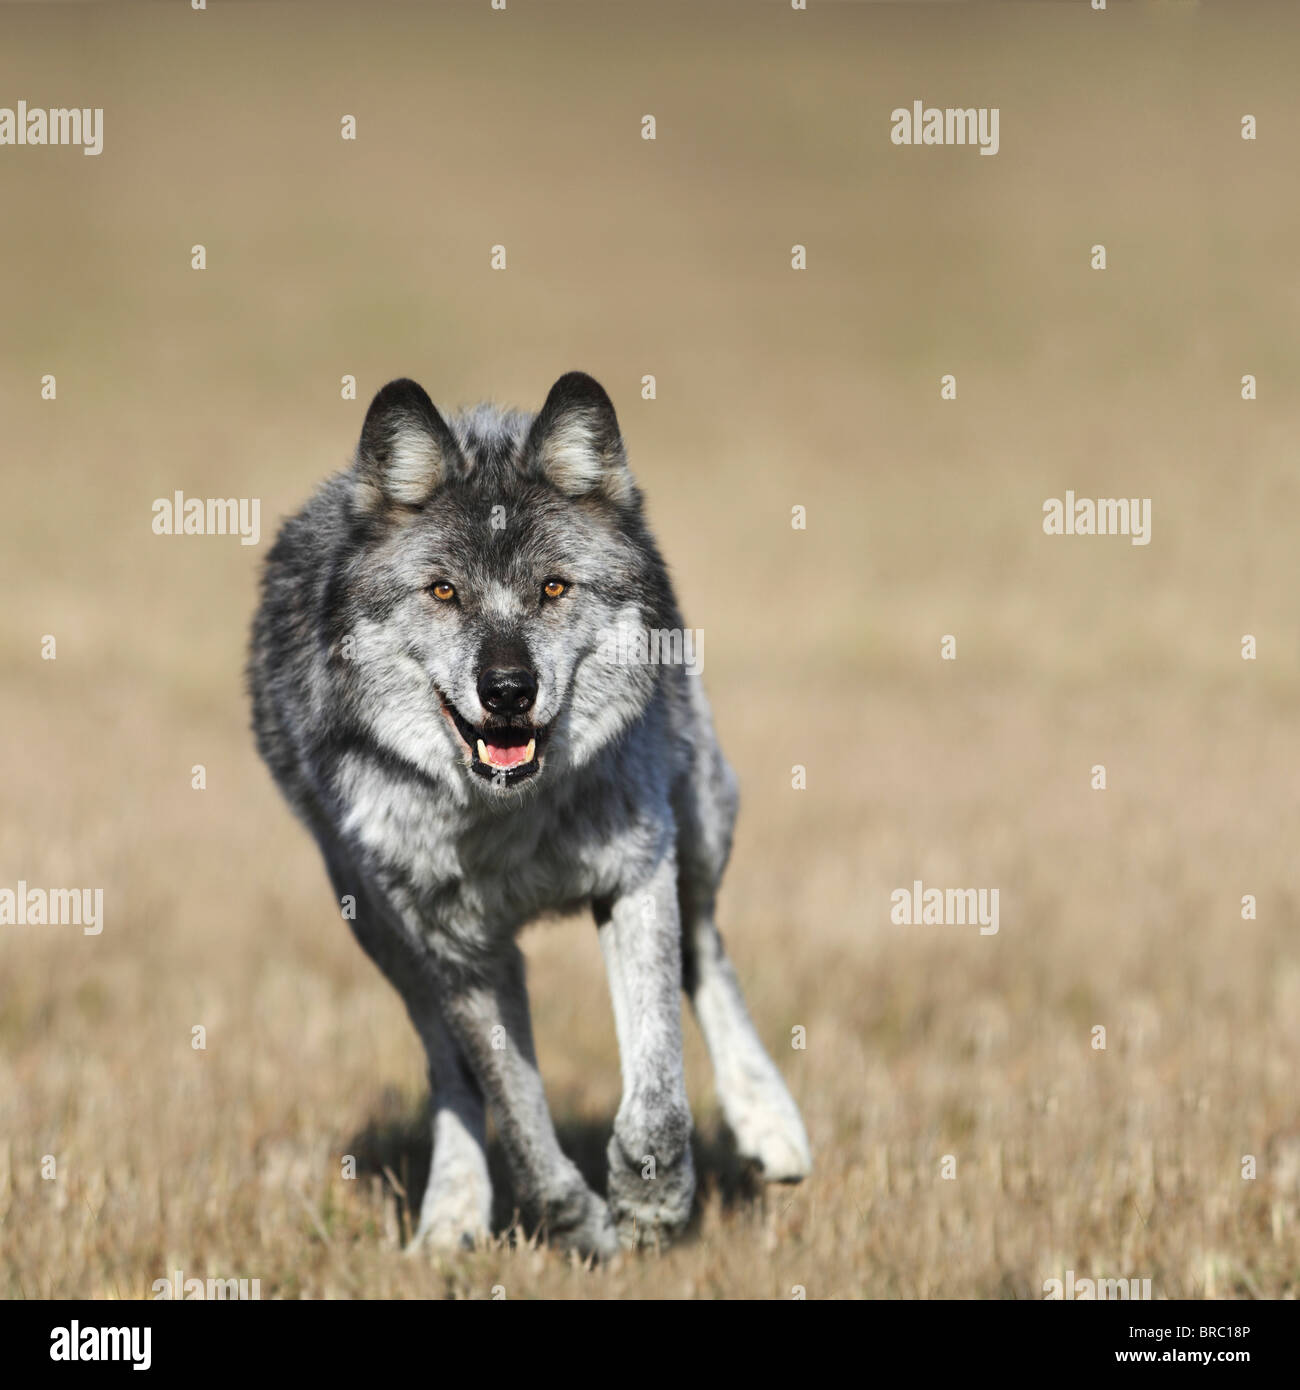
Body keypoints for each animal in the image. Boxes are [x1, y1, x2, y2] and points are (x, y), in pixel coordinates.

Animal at [248, 372, 811, 1256]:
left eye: (552, 587)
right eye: (444, 591)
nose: (508, 690)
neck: (509, 822)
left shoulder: (636, 878)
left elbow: (658, 1091)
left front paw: (651, 1207)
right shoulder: (459, 953)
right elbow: (517, 1121)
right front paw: (583, 1224)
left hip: (700, 825)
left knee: (707, 951)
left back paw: (770, 1123)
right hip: (383, 935)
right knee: (450, 1069)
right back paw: (450, 1213)